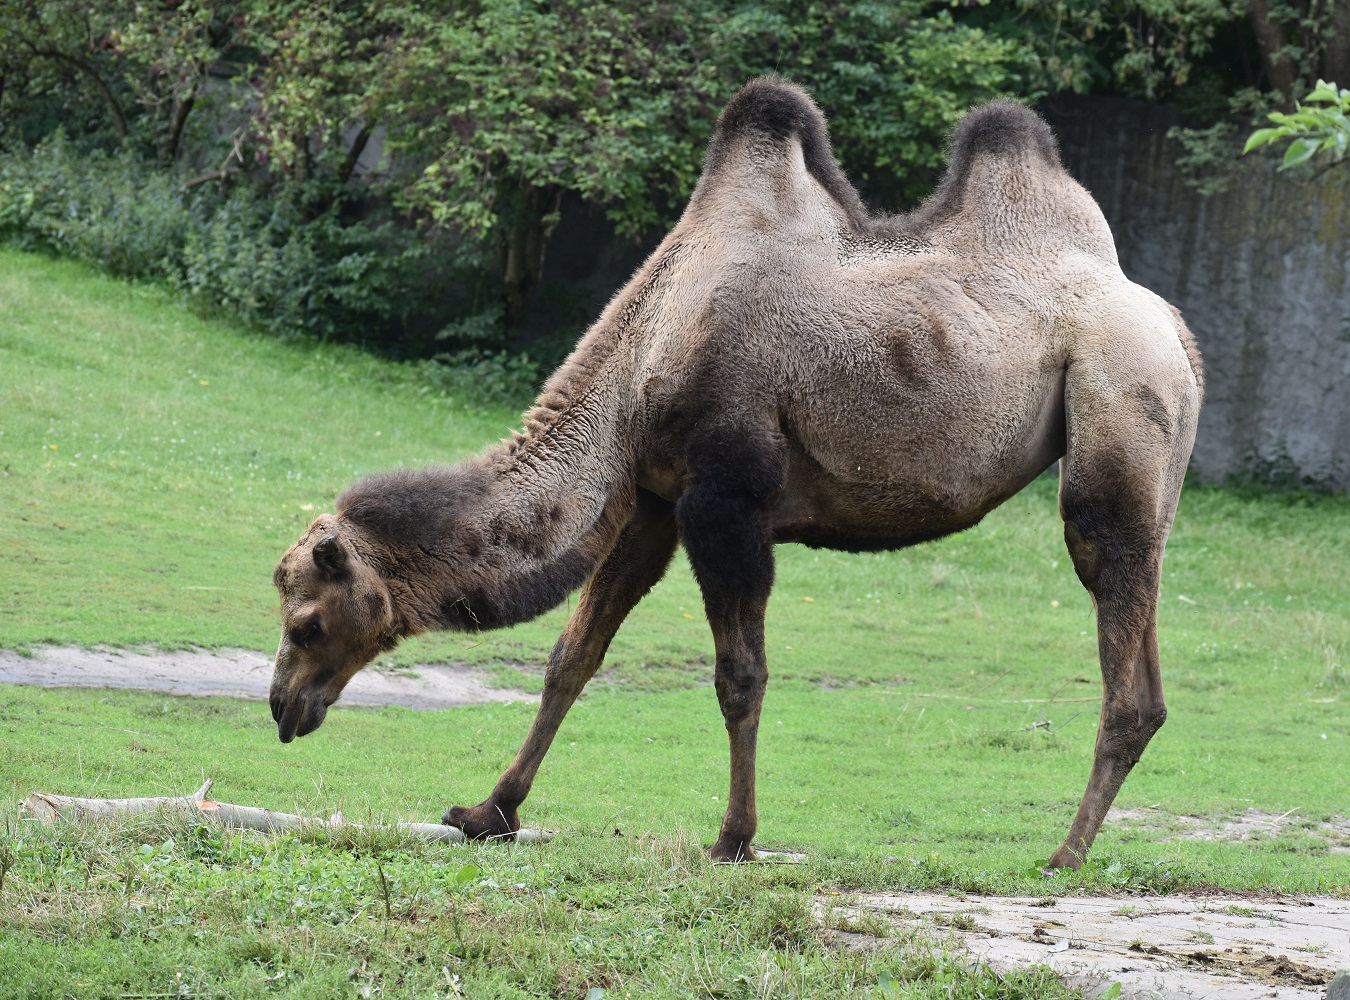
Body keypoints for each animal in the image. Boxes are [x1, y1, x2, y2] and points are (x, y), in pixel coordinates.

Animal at [269, 77, 1202, 869]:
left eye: (307, 624)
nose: (281, 709)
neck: (641, 354)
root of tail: (1177, 331)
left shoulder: (725, 498)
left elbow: (738, 675)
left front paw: (733, 838)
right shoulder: (653, 499)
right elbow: (574, 652)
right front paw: (486, 812)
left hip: (1118, 401)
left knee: (1112, 607)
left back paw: (1065, 854)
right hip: (1149, 462)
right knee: (1149, 633)